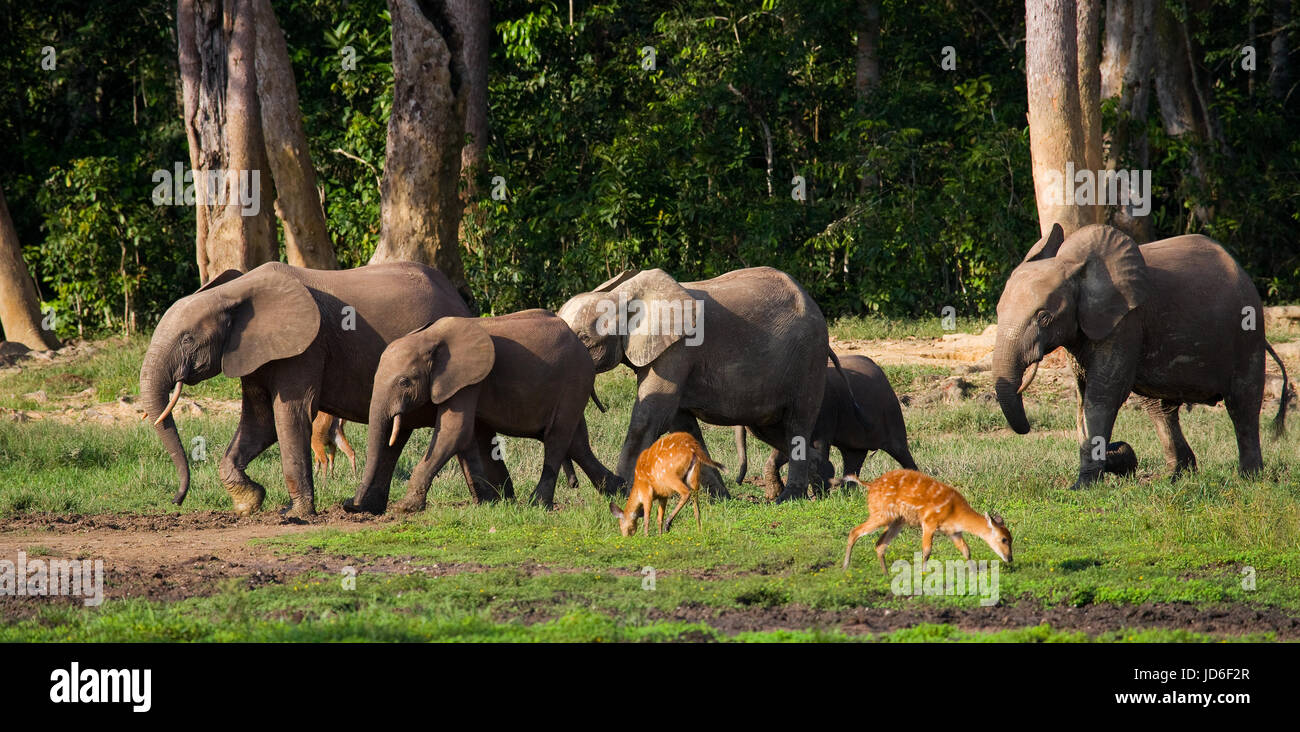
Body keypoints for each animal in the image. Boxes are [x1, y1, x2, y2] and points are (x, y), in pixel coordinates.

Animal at [138, 261, 482, 517]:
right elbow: (260, 422)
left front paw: (296, 515)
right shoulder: (254, 353)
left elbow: (290, 414)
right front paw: (248, 503)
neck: (234, 293)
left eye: (187, 340)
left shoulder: (306, 348)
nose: (176, 500)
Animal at [342, 309, 622, 514]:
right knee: (577, 443)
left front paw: (404, 508)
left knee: (557, 438)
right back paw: (620, 489)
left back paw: (537, 504)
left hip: (575, 380)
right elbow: (422, 434)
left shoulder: (465, 380)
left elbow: (453, 431)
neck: (429, 337)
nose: (348, 505)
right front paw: (492, 502)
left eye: (404, 382)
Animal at [558, 266, 866, 503]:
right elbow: (680, 423)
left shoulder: (678, 349)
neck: (622, 294)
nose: (573, 485)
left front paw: (622, 492)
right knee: (771, 428)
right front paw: (721, 499)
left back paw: (789, 498)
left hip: (808, 358)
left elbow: (652, 414)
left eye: (584, 339)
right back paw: (822, 484)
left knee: (798, 423)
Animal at [733, 354, 917, 499]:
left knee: (900, 450)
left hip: (891, 415)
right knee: (853, 456)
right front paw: (775, 495)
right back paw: (847, 493)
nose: (738, 481)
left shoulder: (823, 411)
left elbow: (815, 445)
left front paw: (819, 495)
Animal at [992, 223, 1289, 488]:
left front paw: (1085, 484)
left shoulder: (1126, 322)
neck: (1075, 268)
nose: (1120, 450)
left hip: (1247, 334)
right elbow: (1082, 398)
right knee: (1160, 409)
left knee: (1242, 403)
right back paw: (1177, 477)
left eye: (1044, 317)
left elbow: (1102, 395)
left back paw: (1249, 478)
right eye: (998, 311)